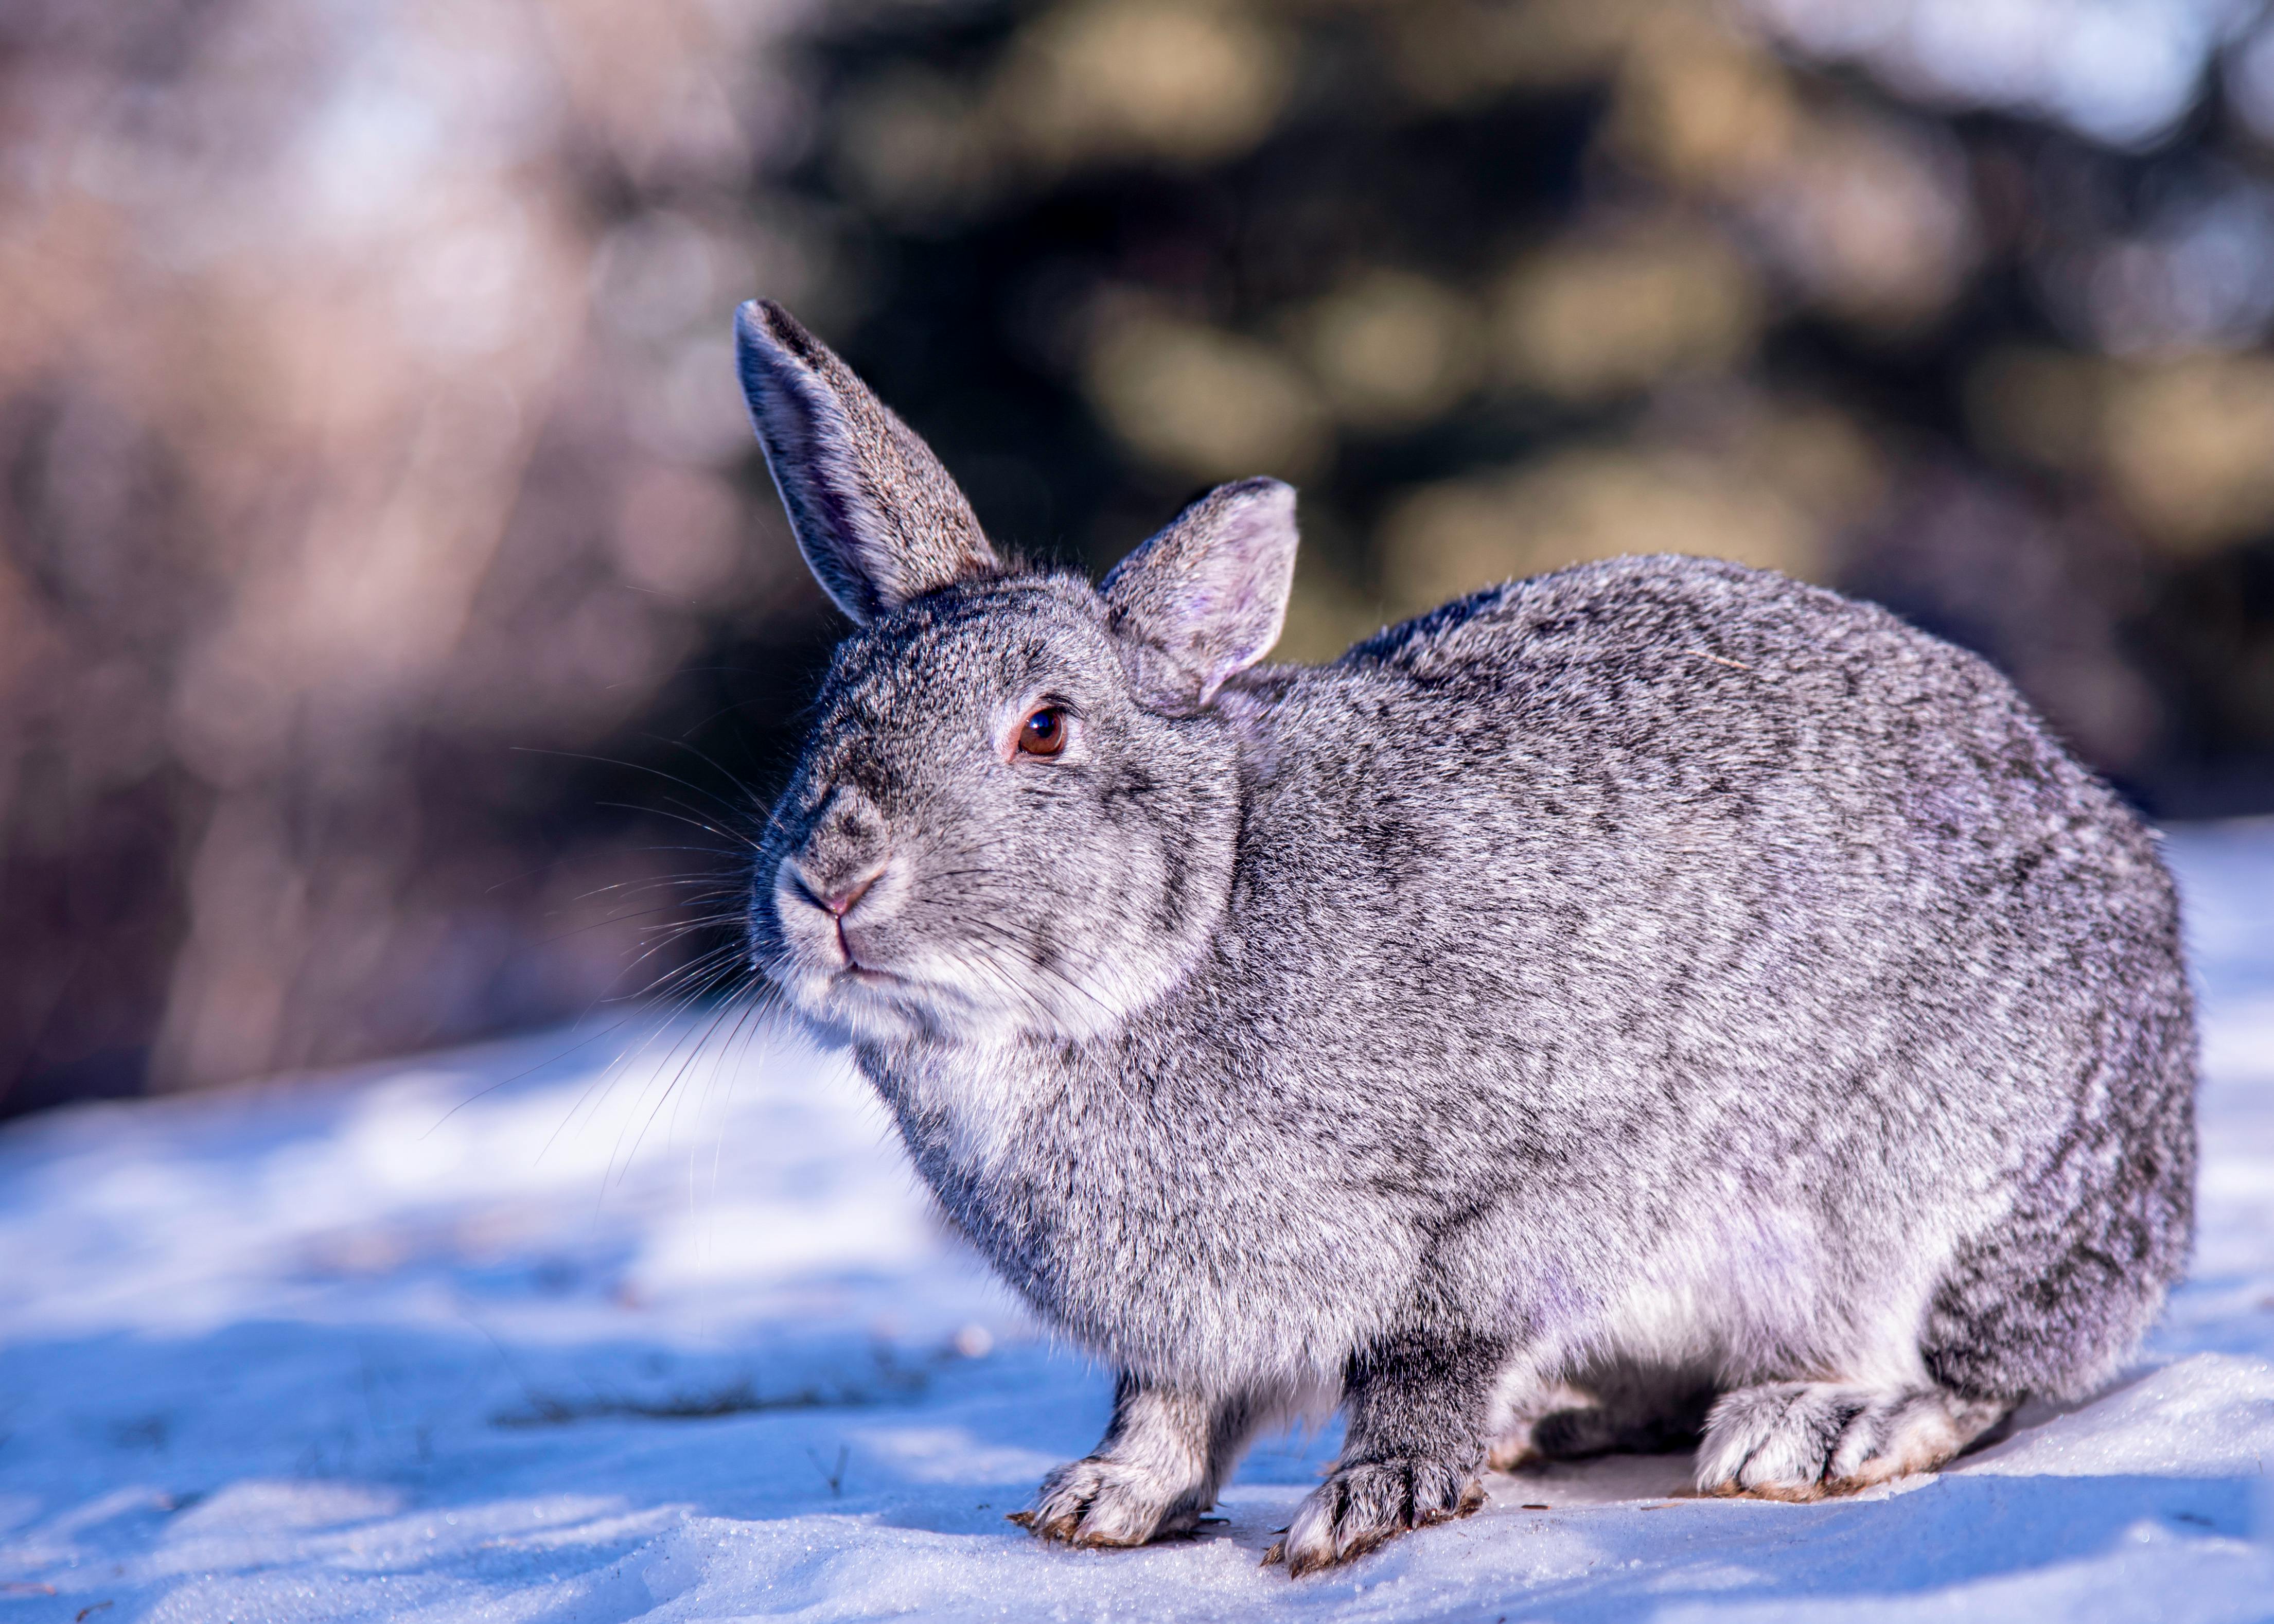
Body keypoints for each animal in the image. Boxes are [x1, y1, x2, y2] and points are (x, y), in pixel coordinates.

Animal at [730, 298, 2197, 1575]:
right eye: (826, 711)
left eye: (1043, 728)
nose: (830, 883)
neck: (1193, 923)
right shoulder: (1189, 1326)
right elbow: (1168, 1406)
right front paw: (1103, 1503)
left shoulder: (1513, 1196)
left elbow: (1428, 1355)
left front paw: (1368, 1501)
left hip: (1946, 1188)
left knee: (1985, 1373)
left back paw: (1819, 1426)